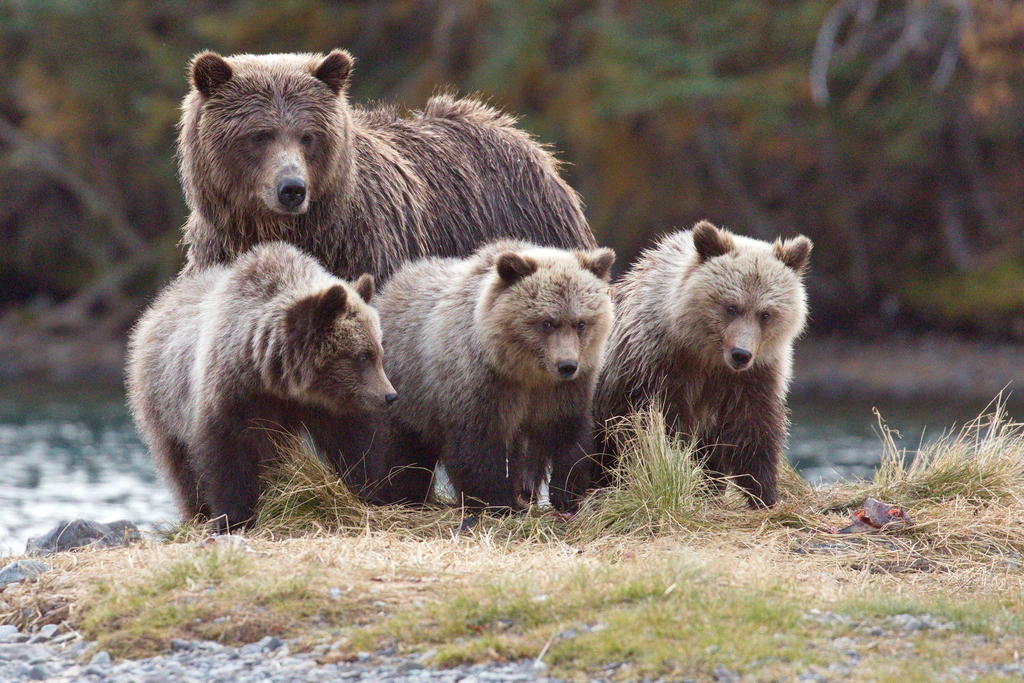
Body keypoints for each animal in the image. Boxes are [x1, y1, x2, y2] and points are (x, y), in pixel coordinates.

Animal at [126, 241, 395, 530]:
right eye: (363, 356)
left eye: (378, 351)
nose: (390, 395)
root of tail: (158, 305)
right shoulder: (231, 395)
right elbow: (228, 454)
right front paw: (233, 518)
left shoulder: (326, 404)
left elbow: (353, 442)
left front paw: (366, 493)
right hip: (163, 401)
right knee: (179, 467)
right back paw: (196, 512)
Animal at [370, 240, 616, 512]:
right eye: (547, 322)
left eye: (581, 322)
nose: (567, 365)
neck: (524, 371)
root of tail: (391, 285)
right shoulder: (481, 383)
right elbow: (479, 446)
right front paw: (496, 501)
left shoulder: (563, 390)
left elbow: (568, 429)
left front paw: (565, 491)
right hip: (405, 386)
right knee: (402, 452)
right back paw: (397, 495)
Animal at [592, 221, 812, 508]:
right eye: (731, 307)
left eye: (765, 314)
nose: (741, 354)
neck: (706, 355)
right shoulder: (656, 367)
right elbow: (653, 426)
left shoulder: (755, 376)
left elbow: (754, 429)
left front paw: (765, 494)